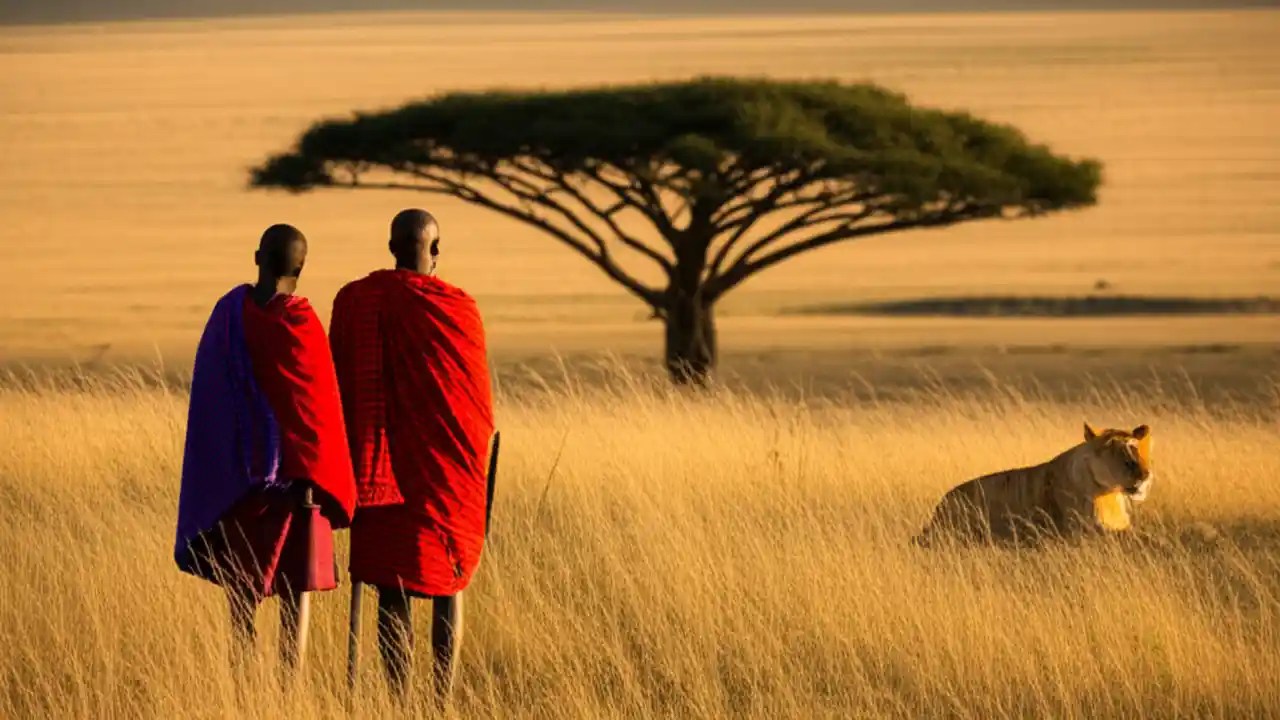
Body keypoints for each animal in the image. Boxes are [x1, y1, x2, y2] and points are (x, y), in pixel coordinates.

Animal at [914, 423, 1154, 546]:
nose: (1144, 474)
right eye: (1112, 450)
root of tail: (937, 510)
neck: (1110, 494)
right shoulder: (1084, 532)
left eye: (1136, 448)